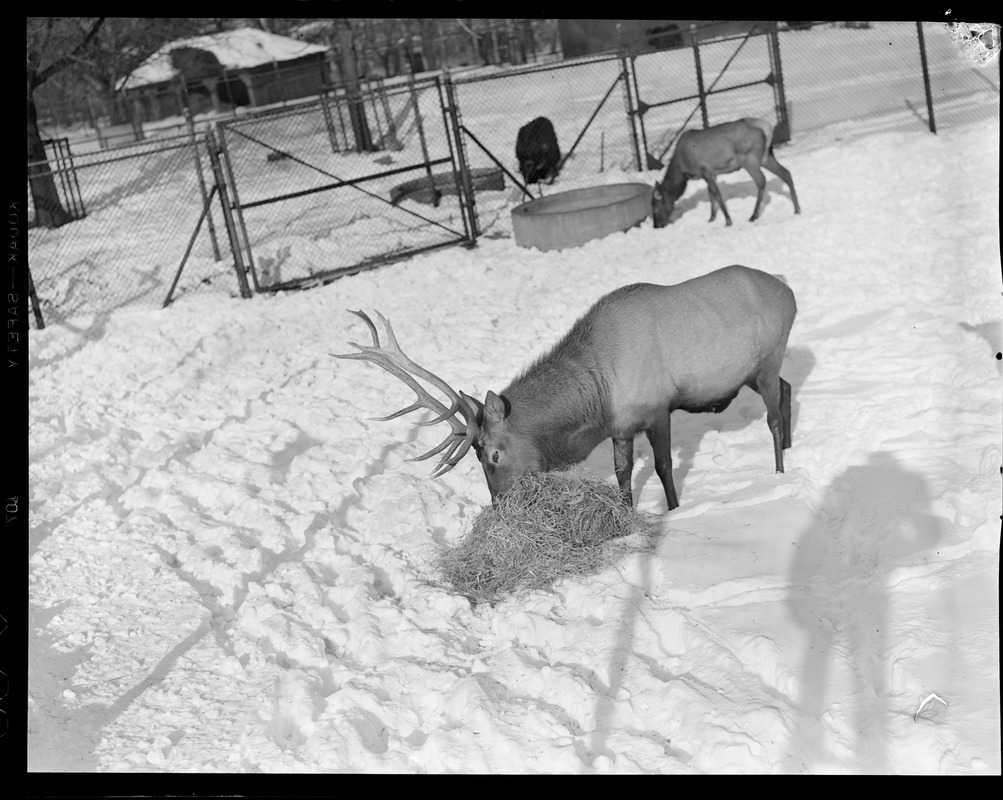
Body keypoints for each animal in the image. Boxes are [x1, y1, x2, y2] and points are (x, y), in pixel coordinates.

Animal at [334, 265, 796, 512]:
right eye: (476, 457)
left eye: (494, 454)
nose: (500, 505)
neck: (598, 400)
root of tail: (788, 290)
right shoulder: (621, 426)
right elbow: (622, 472)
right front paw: (626, 513)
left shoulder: (657, 408)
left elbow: (664, 466)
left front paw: (675, 508)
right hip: (754, 371)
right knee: (789, 388)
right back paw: (792, 447)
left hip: (770, 355)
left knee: (773, 415)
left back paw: (779, 470)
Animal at [652, 118, 801, 228]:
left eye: (655, 207)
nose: (656, 225)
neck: (682, 170)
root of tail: (766, 127)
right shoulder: (712, 173)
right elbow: (710, 193)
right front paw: (711, 218)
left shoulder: (704, 170)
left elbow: (717, 194)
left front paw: (728, 220)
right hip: (766, 156)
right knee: (786, 173)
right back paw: (797, 209)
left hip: (749, 158)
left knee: (761, 181)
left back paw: (753, 215)